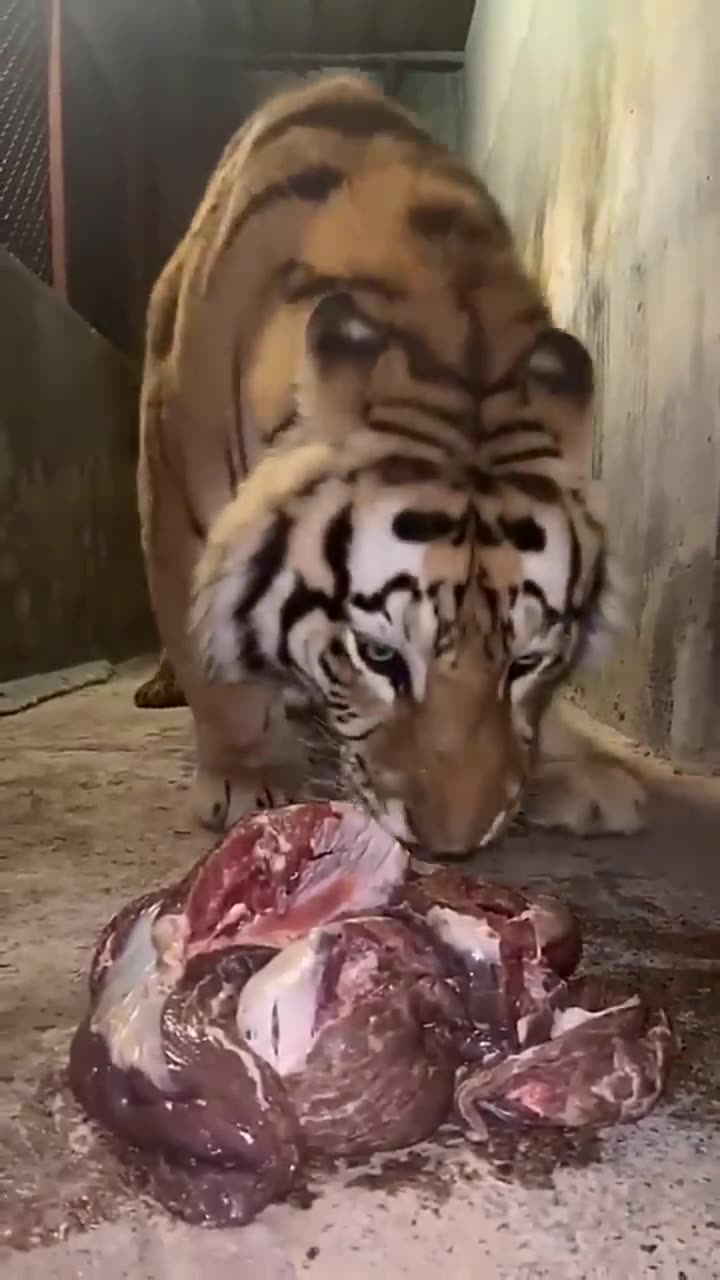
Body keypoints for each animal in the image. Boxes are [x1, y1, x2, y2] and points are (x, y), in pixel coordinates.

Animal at [136, 72, 645, 856]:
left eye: (527, 662)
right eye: (379, 657)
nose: (454, 843)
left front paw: (574, 771)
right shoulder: (177, 485)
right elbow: (206, 648)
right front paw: (246, 773)